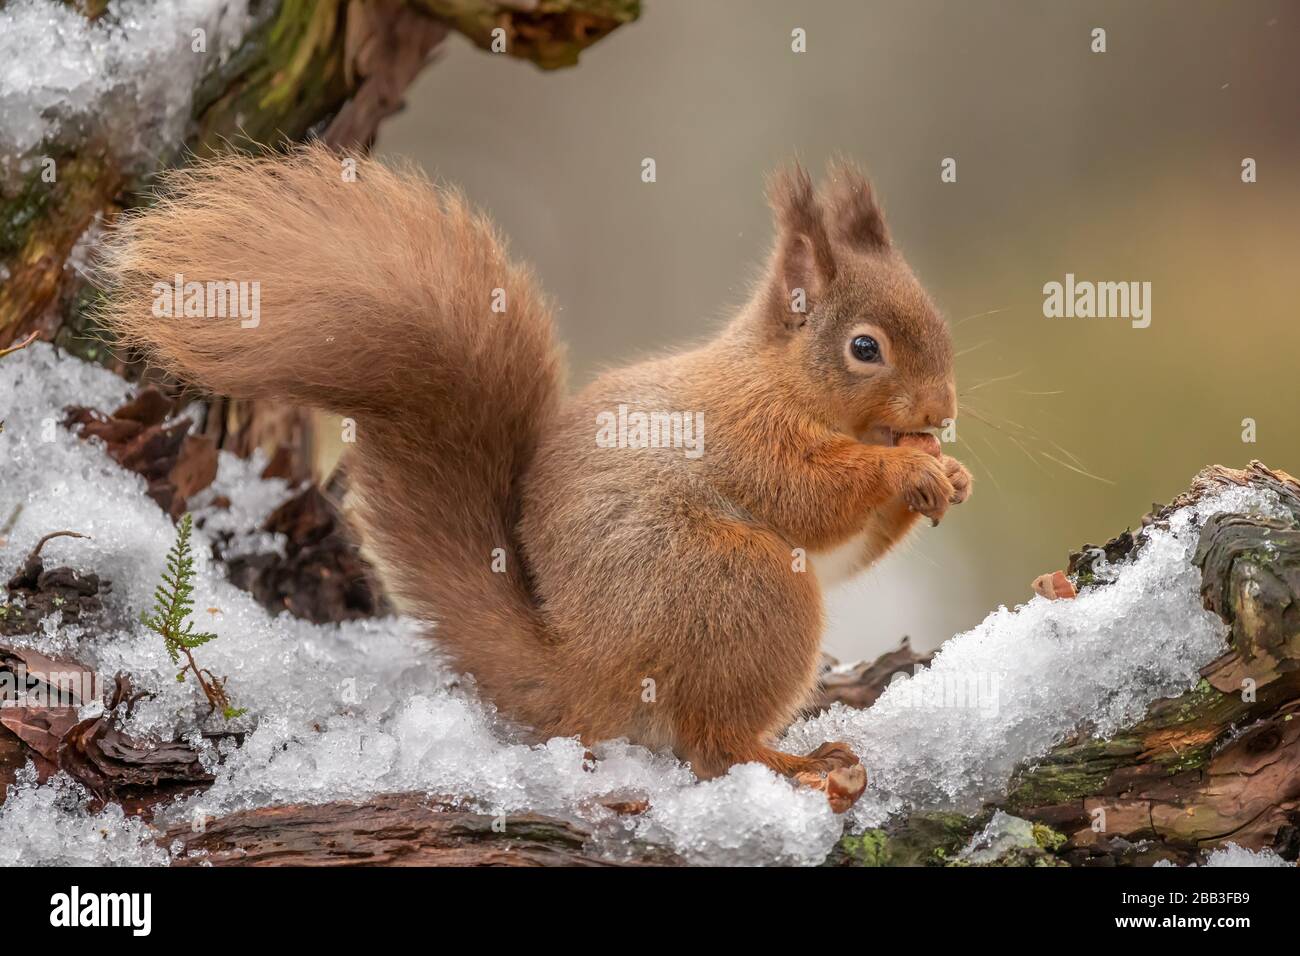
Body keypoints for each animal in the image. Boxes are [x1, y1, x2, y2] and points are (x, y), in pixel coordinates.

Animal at [101, 145, 971, 809]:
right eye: (865, 348)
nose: (943, 408)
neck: (783, 380)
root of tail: (581, 674)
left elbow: (853, 547)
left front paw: (950, 474)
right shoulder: (747, 436)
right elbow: (811, 498)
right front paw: (905, 466)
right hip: (744, 590)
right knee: (713, 746)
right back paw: (799, 764)